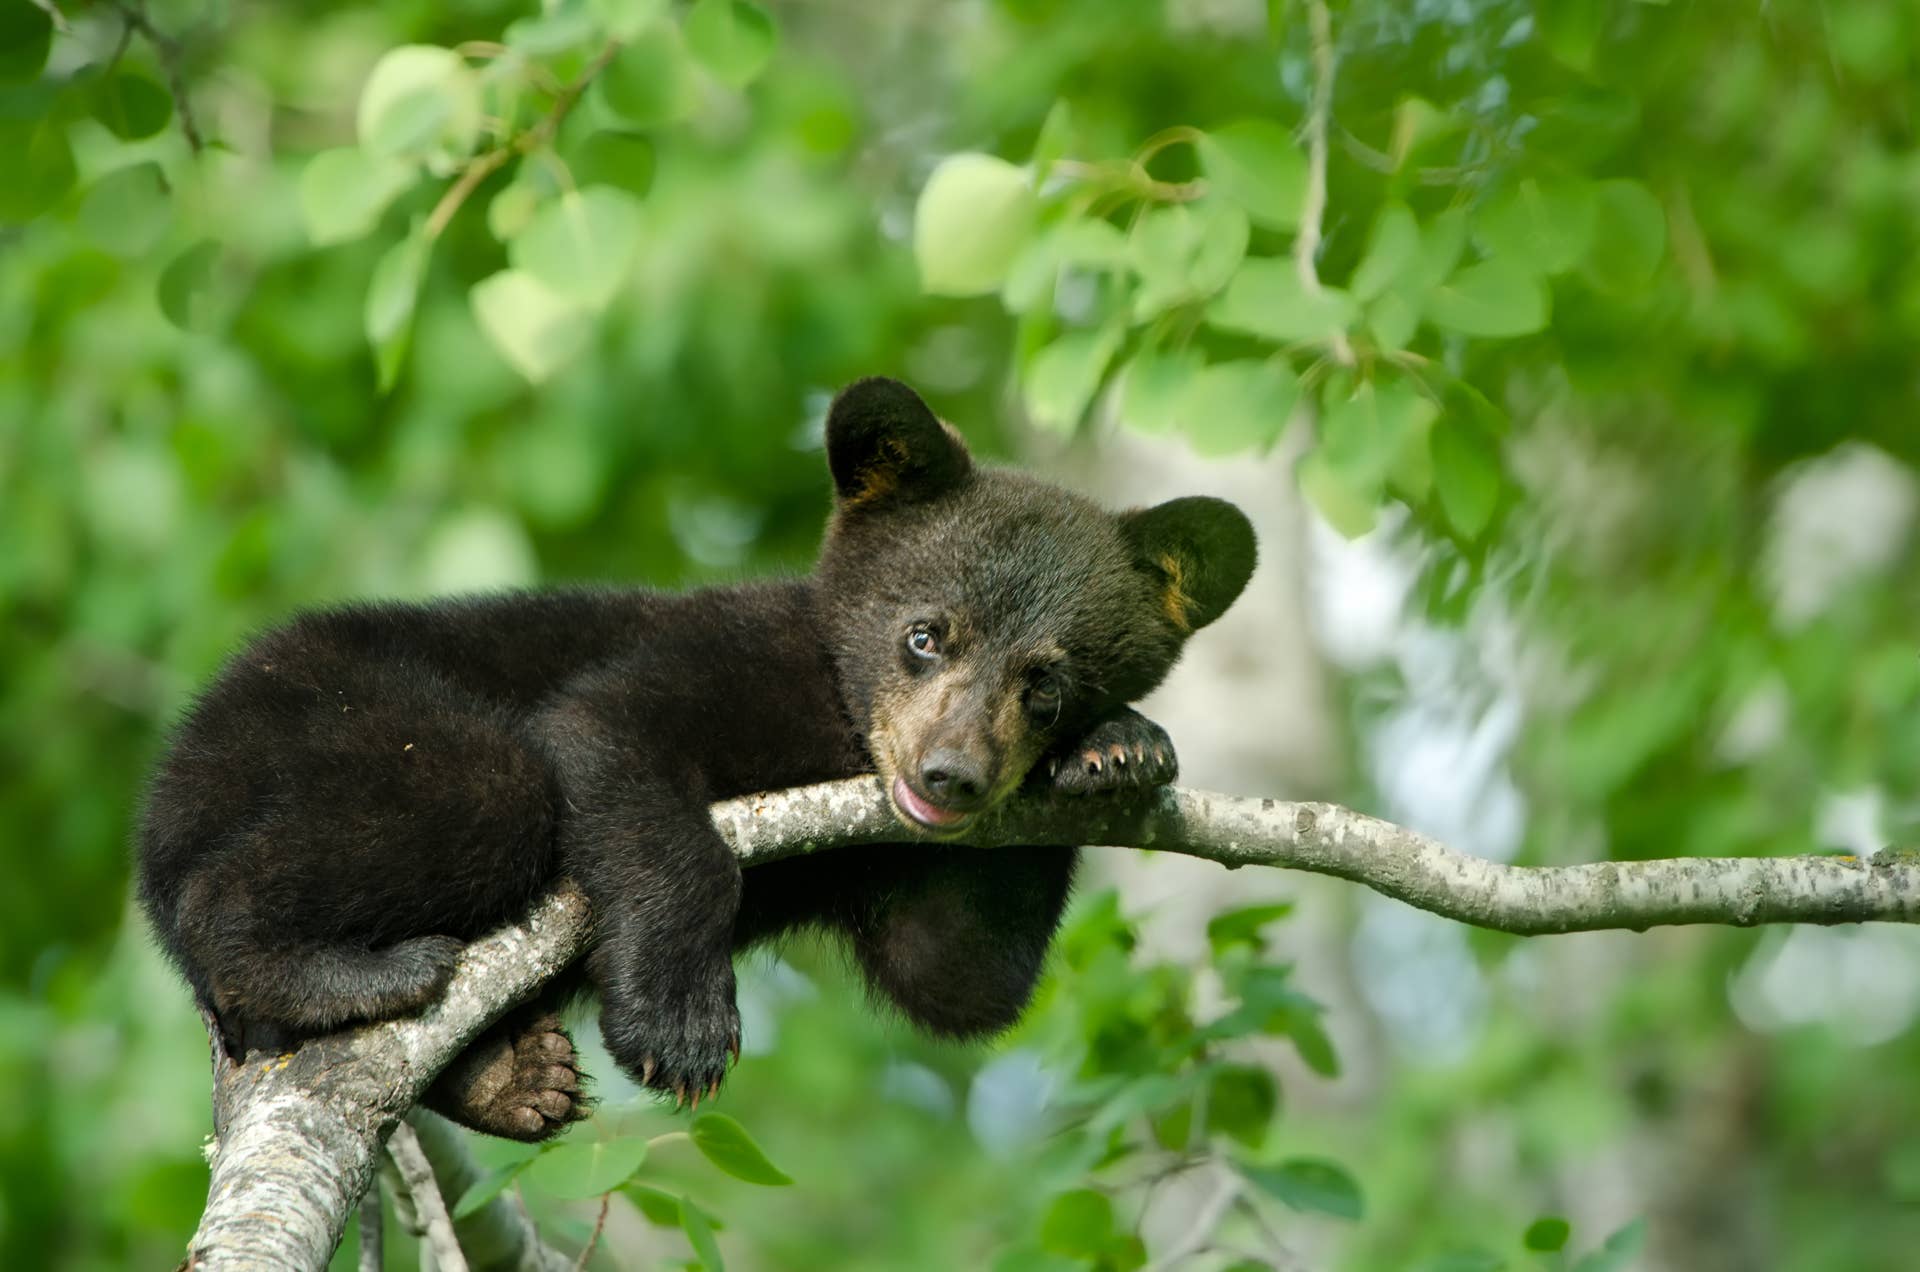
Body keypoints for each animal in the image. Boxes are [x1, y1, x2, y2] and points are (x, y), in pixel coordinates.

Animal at [135, 377, 1256, 1139]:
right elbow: (615, 743)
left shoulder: (898, 862)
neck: (836, 710)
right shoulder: (717, 659)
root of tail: (181, 754)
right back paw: (337, 977)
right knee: (466, 796)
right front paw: (680, 1027)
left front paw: (1117, 749)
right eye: (925, 634)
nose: (950, 776)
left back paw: (512, 1079)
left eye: (1047, 685)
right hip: (338, 724)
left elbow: (957, 969)